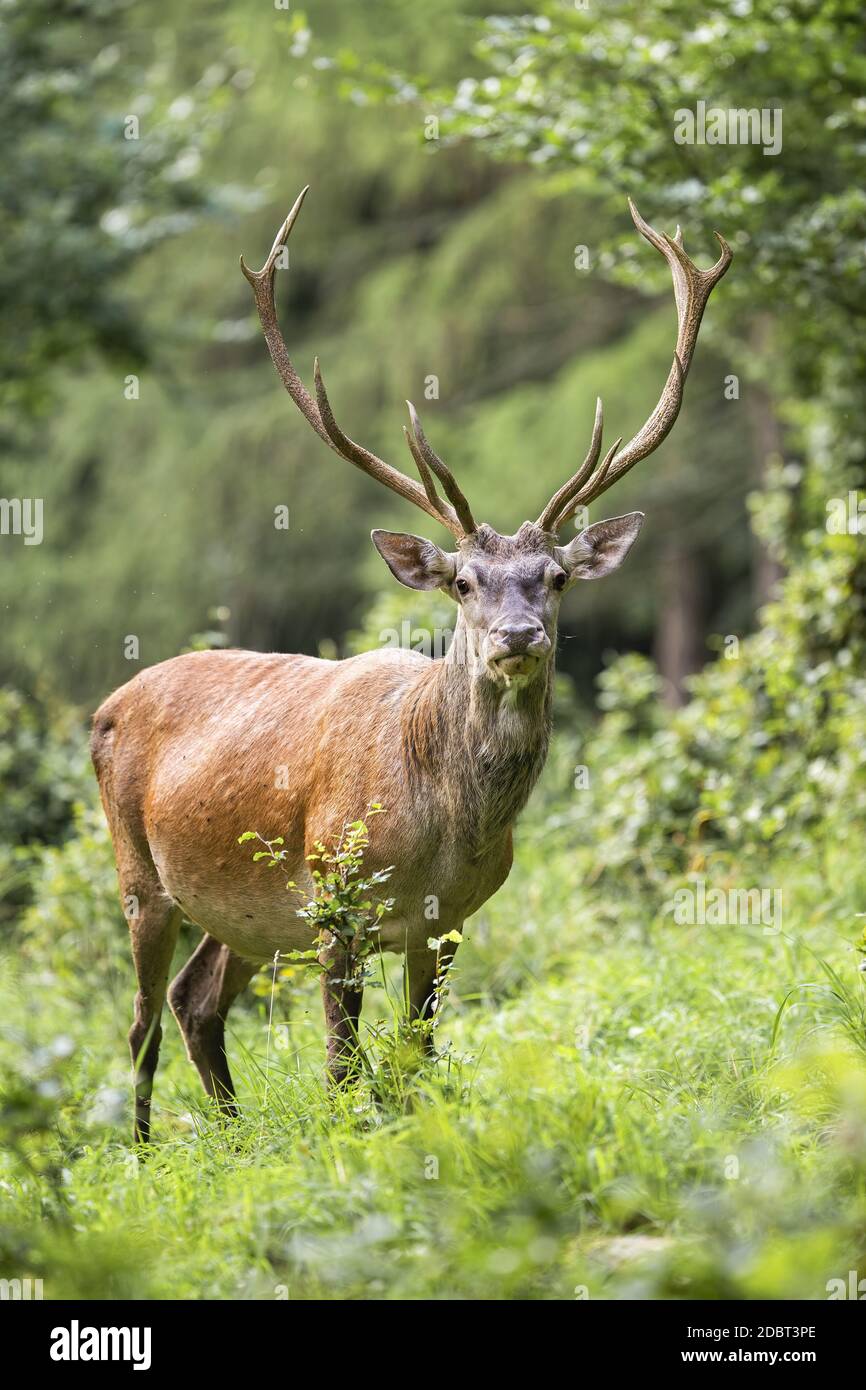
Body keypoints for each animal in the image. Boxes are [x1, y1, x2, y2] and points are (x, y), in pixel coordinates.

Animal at [91, 188, 731, 1140]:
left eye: (555, 577)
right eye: (464, 582)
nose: (517, 636)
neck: (446, 824)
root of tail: (105, 705)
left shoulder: (446, 922)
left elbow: (415, 1057)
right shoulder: (339, 901)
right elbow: (342, 1066)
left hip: (245, 912)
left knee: (195, 998)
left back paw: (233, 1140)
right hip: (141, 874)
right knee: (138, 1018)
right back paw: (141, 1153)